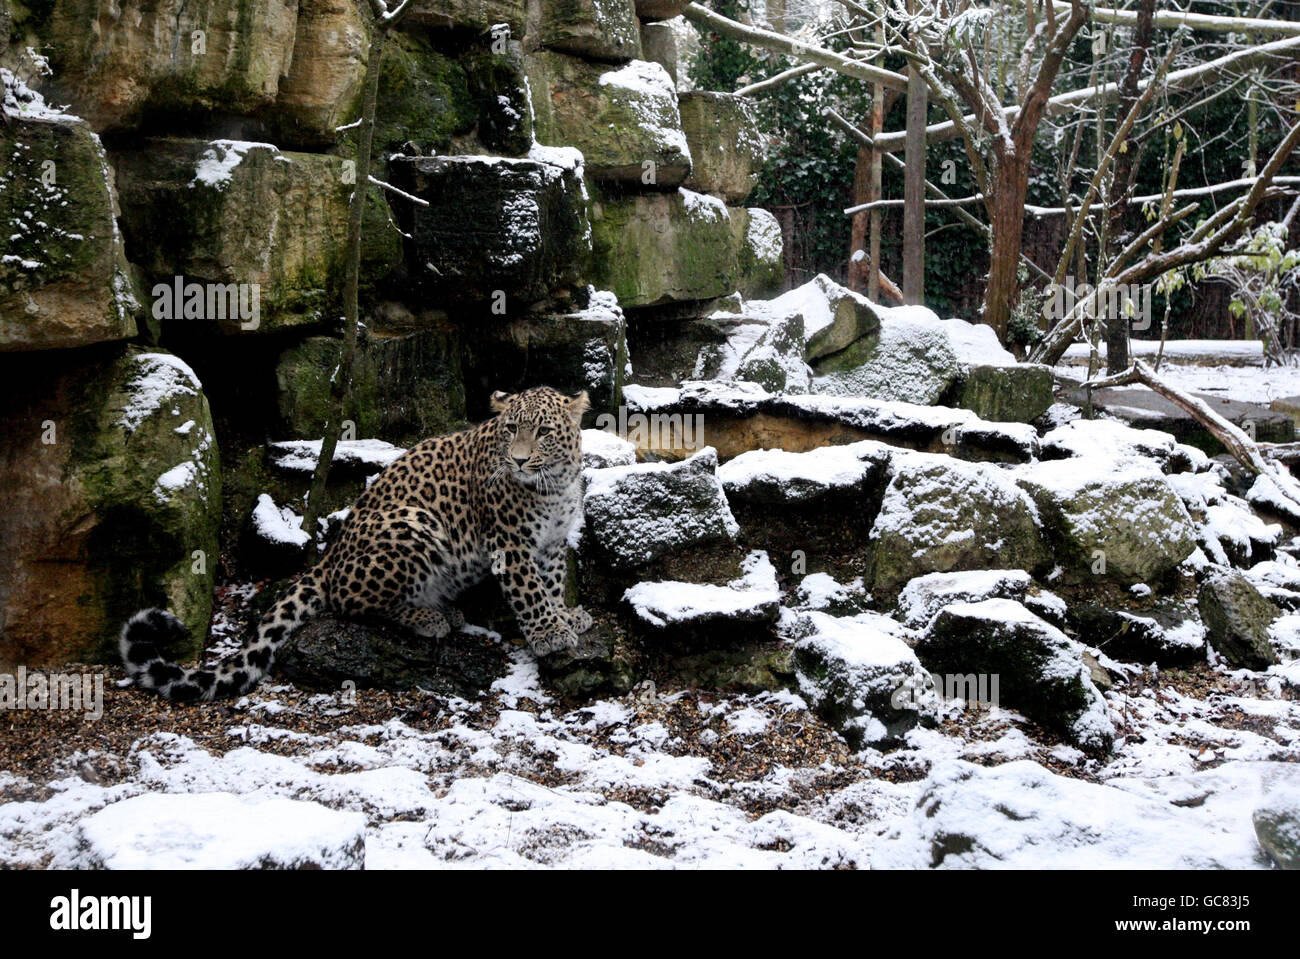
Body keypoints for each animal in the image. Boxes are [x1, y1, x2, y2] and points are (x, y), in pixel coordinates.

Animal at [120, 386, 594, 702]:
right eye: (511, 428)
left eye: (543, 431)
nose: (518, 460)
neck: (553, 483)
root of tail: (329, 557)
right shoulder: (510, 544)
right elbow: (530, 591)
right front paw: (550, 633)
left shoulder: (552, 541)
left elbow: (551, 583)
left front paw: (566, 615)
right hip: (414, 522)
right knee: (349, 600)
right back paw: (429, 617)